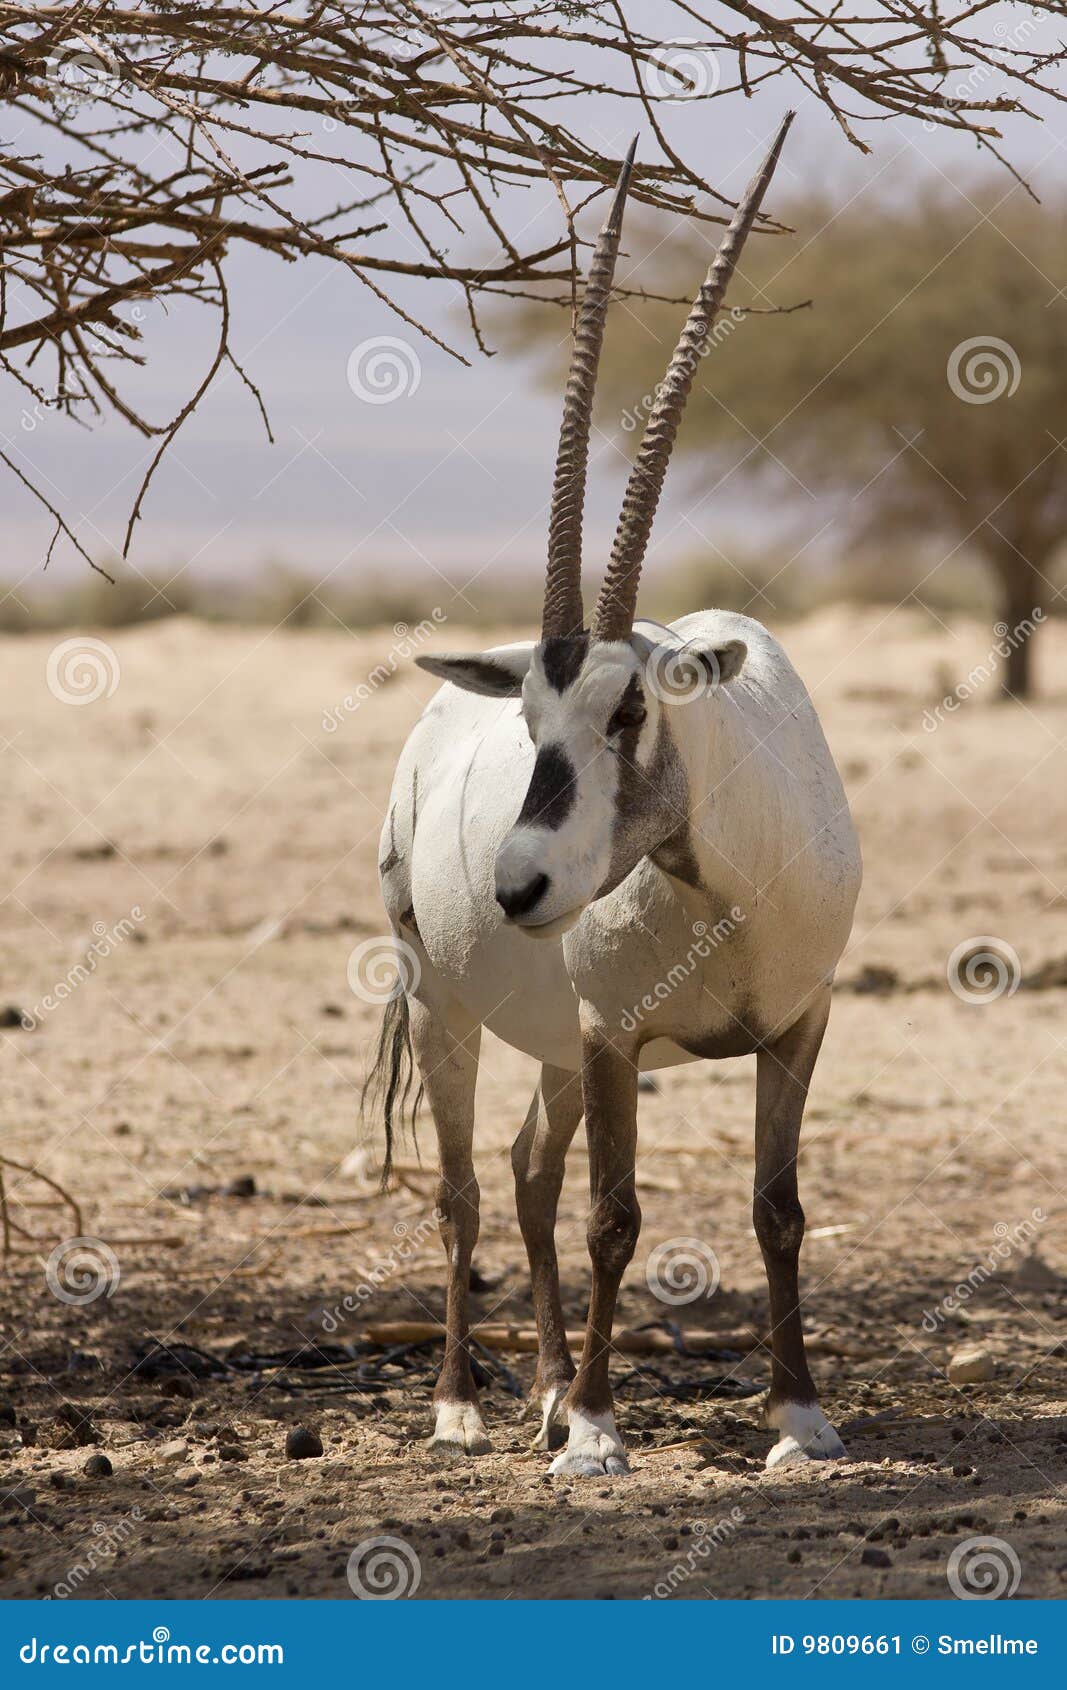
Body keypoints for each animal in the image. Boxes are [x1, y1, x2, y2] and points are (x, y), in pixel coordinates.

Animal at [367, 113, 862, 1476]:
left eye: (629, 711)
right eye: (531, 723)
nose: (517, 883)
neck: (722, 886)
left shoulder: (798, 1024)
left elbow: (776, 1206)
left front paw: (799, 1416)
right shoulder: (611, 1036)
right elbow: (615, 1215)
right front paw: (593, 1430)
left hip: (544, 1037)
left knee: (526, 1171)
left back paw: (536, 1384)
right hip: (445, 1001)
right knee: (467, 1187)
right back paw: (466, 1403)